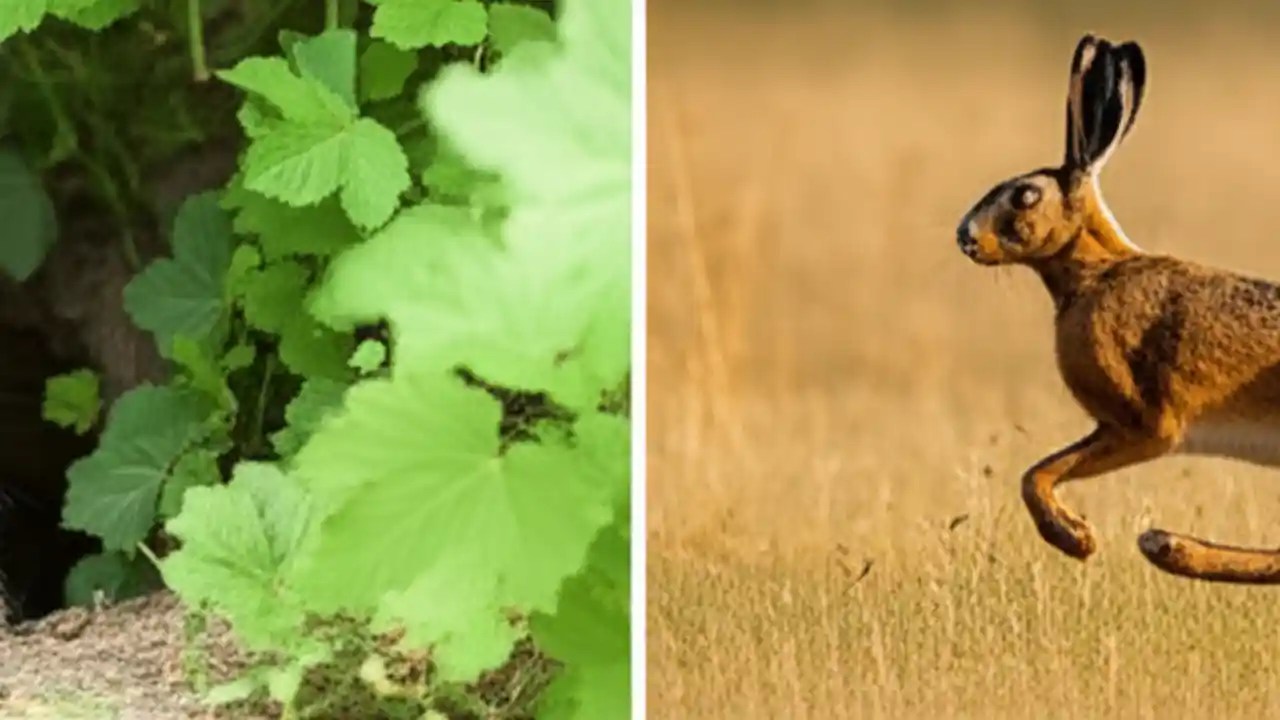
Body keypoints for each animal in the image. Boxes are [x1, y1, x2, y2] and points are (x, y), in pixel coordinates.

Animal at [956, 33, 1280, 584]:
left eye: (1025, 195)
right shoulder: (1111, 427)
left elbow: (1036, 476)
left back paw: (1167, 546)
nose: (966, 238)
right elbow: (1038, 470)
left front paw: (1077, 540)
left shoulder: (1146, 427)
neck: (1096, 271)